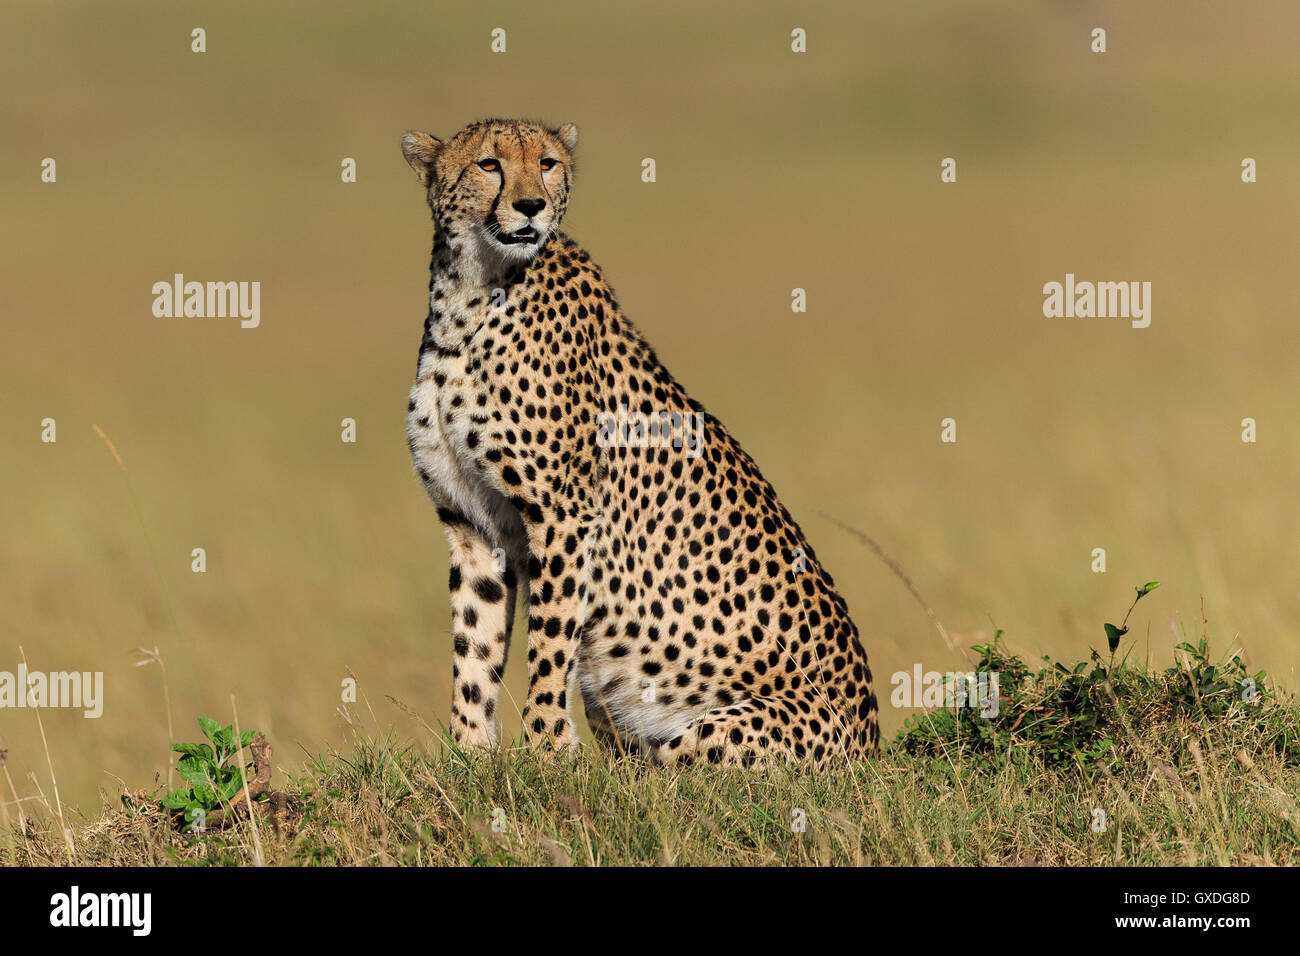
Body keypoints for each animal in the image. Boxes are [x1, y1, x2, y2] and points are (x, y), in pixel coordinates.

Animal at [400, 117, 879, 766]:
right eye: (488, 164)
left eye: (547, 163)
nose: (531, 206)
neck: (469, 295)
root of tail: (872, 746)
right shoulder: (472, 522)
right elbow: (473, 648)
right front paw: (471, 756)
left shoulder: (563, 515)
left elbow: (549, 644)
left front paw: (547, 752)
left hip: (718, 733)